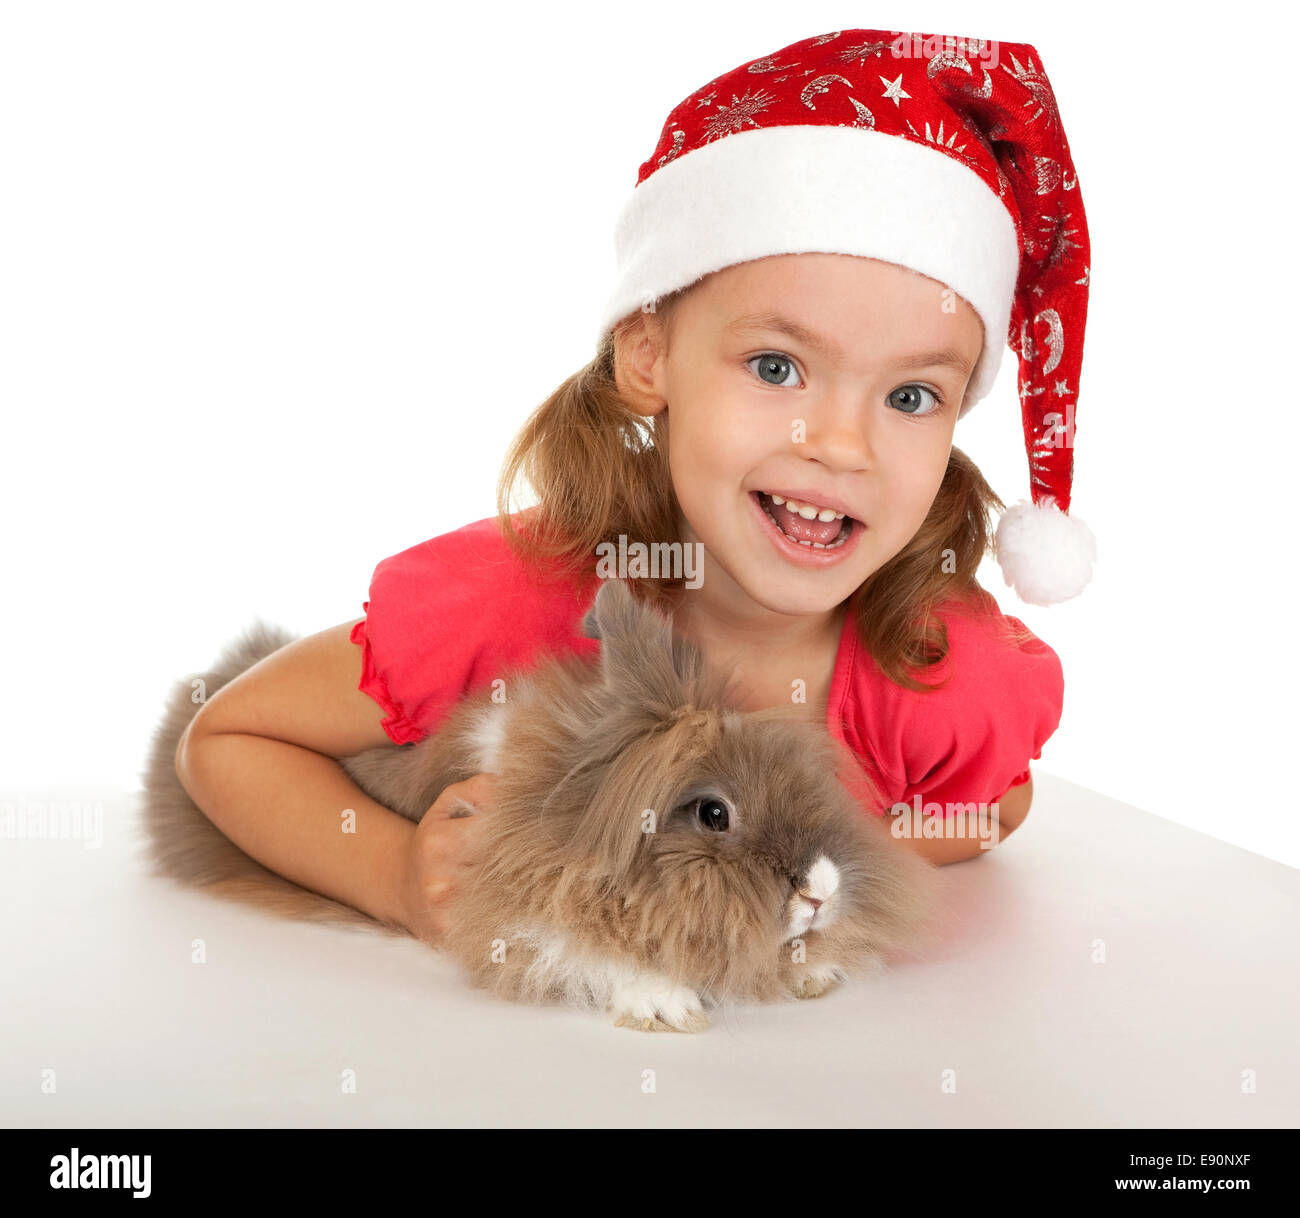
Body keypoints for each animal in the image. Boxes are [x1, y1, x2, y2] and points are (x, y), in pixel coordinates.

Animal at [138, 575, 943, 1032]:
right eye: (713, 814)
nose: (820, 890)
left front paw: (814, 971)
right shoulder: (517, 908)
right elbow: (578, 949)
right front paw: (667, 1005)